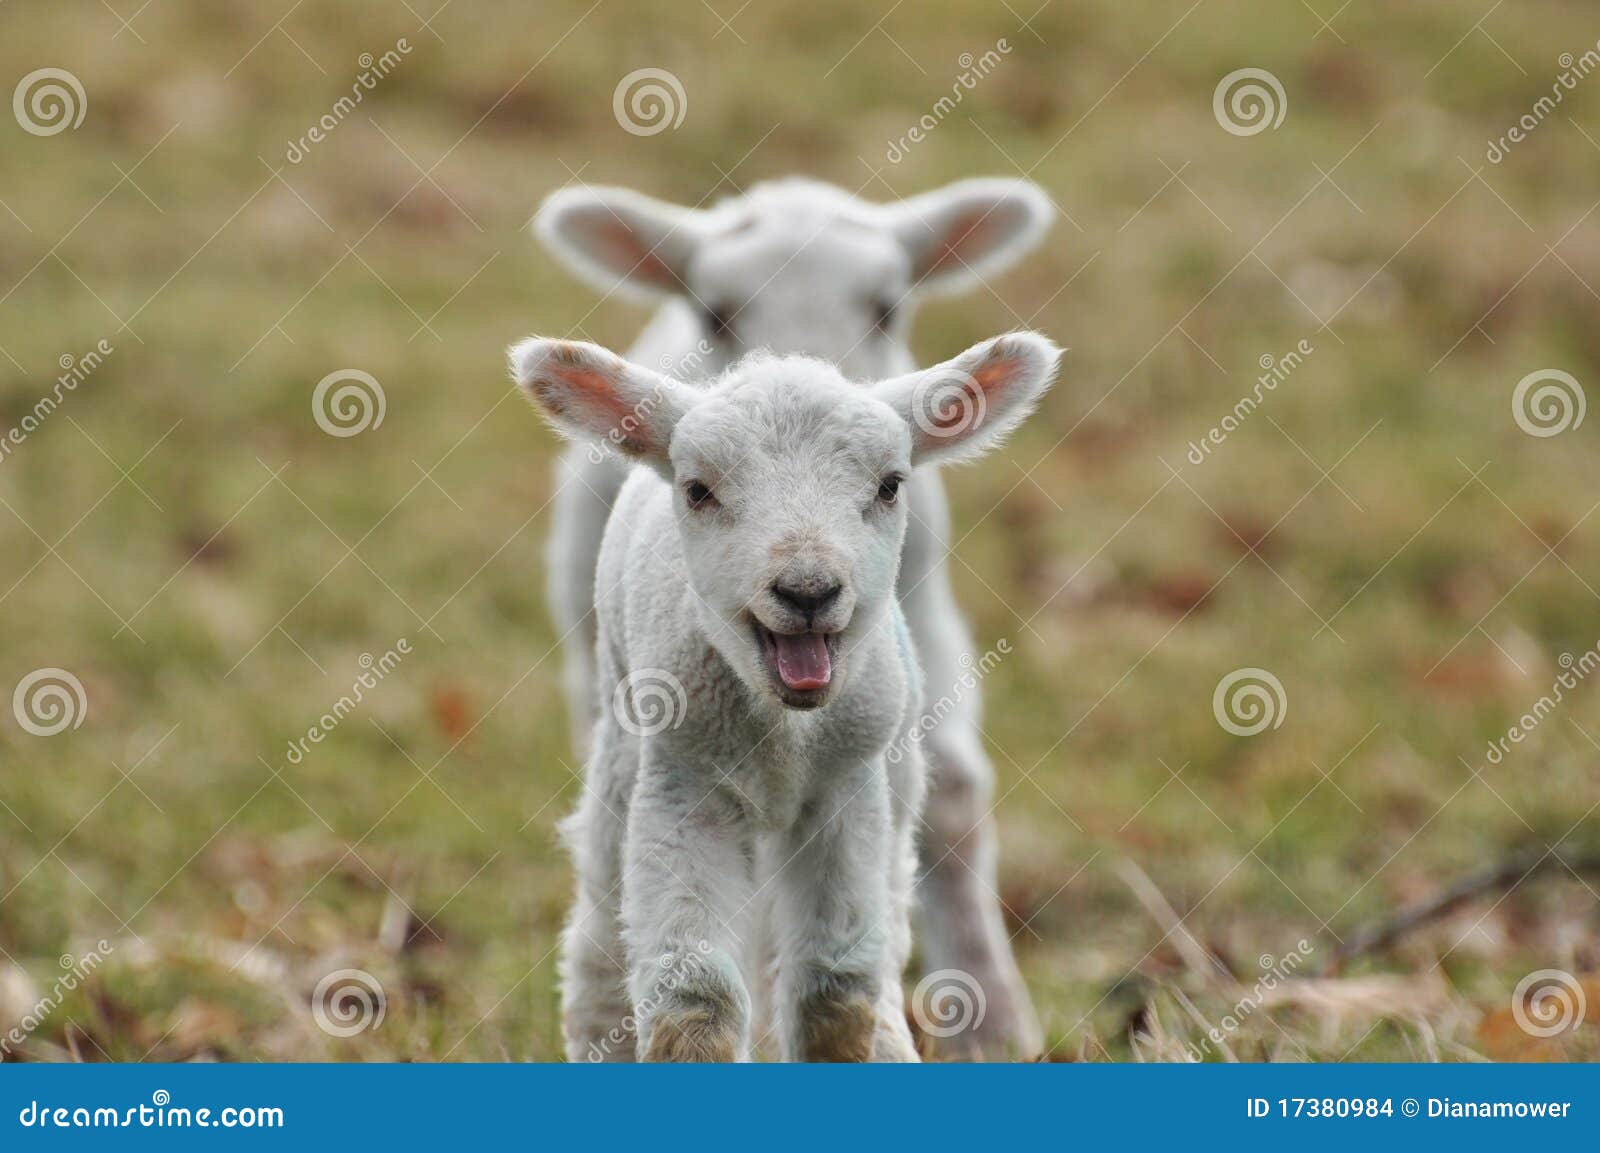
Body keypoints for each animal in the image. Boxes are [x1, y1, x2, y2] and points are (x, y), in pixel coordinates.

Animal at [534, 176, 1053, 1058]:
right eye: (714, 313)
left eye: (888, 306)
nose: (808, 588)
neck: (786, 730)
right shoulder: (685, 784)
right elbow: (696, 994)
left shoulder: (862, 769)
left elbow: (838, 985)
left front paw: (994, 1021)